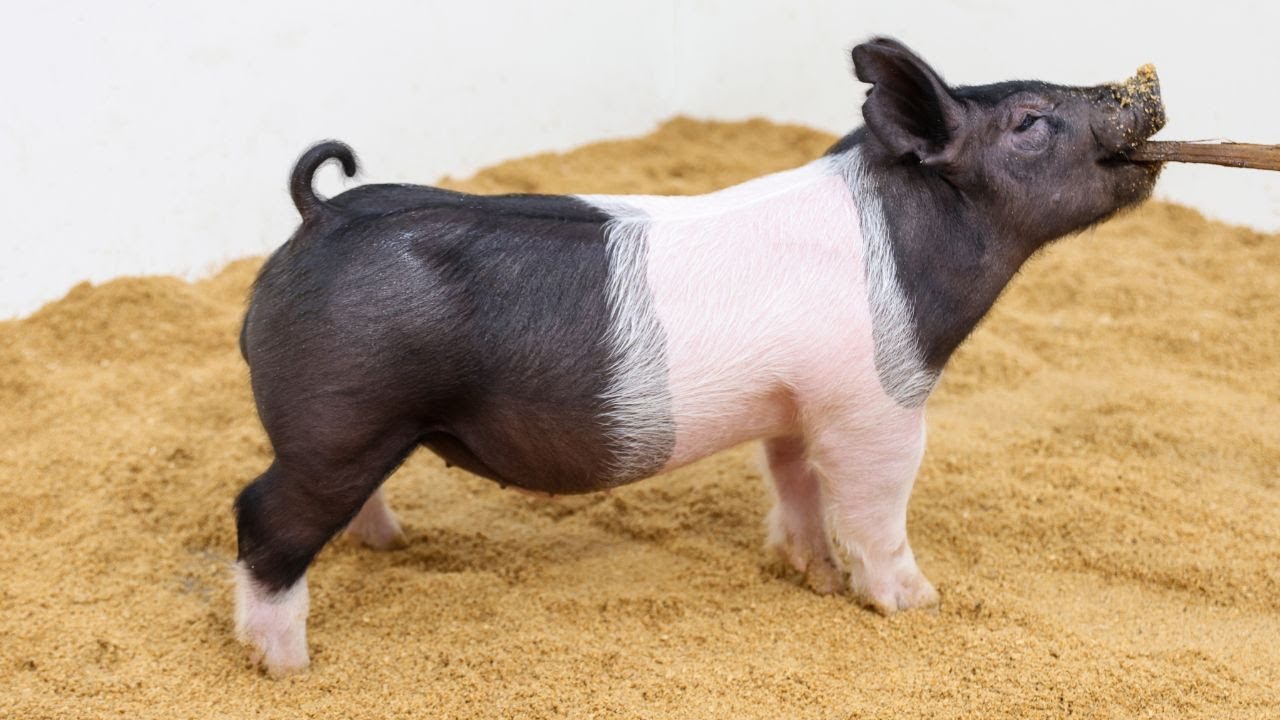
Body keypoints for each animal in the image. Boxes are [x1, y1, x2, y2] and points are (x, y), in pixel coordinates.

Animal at [233, 37, 1165, 676]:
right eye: (1029, 122)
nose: (1146, 84)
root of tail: (320, 217)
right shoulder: (876, 401)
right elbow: (875, 507)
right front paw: (916, 606)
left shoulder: (795, 401)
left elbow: (793, 481)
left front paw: (811, 576)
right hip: (337, 418)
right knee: (263, 515)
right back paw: (287, 666)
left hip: (366, 430)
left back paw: (395, 547)